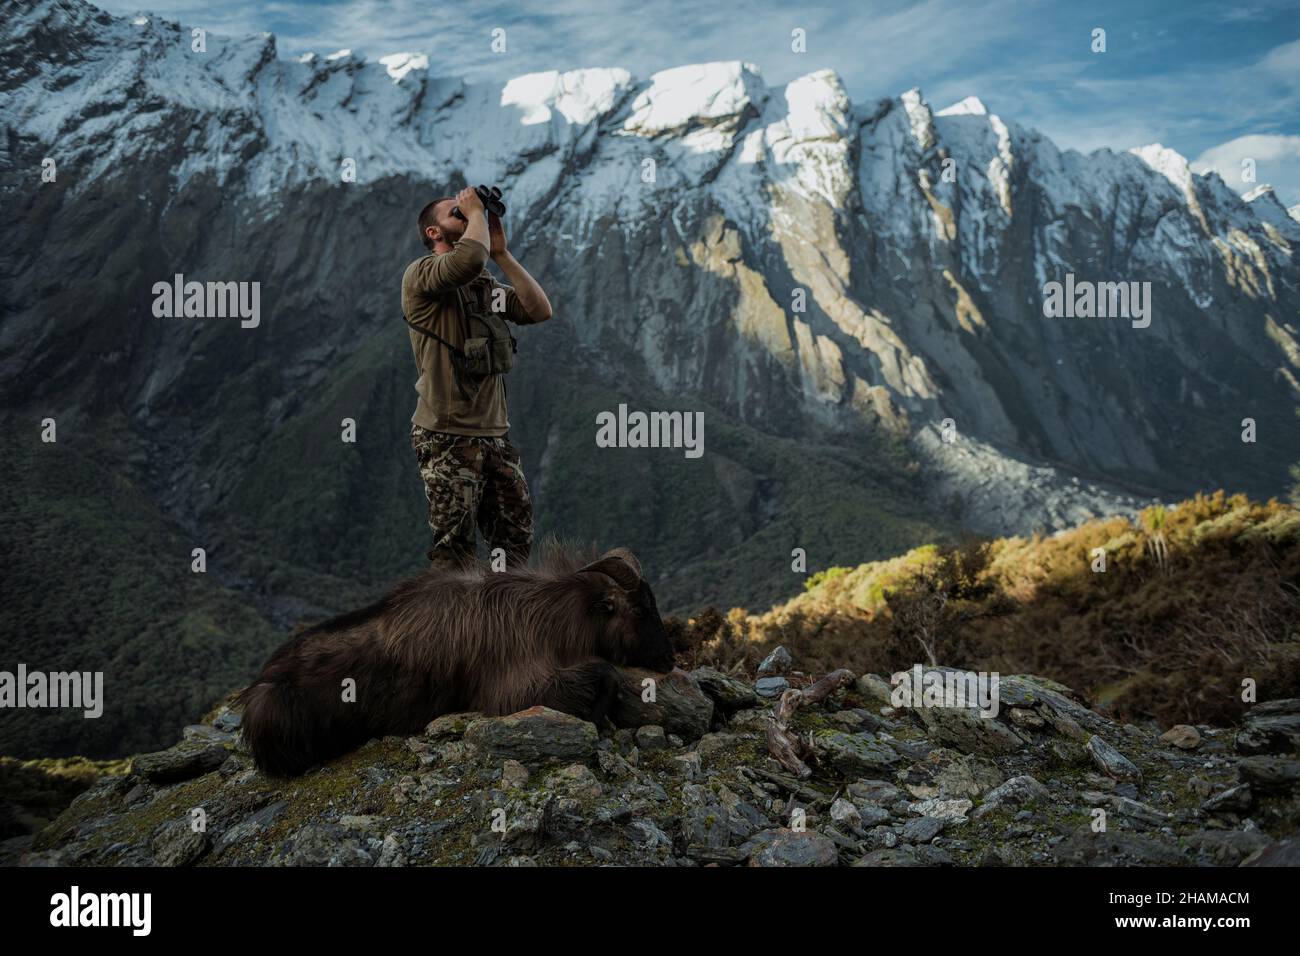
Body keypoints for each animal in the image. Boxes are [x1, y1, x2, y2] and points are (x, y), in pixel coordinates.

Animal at [236, 546, 676, 776]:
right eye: (640, 610)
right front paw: (600, 717)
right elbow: (605, 674)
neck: (540, 613)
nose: (670, 659)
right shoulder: (516, 689)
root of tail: (256, 693)